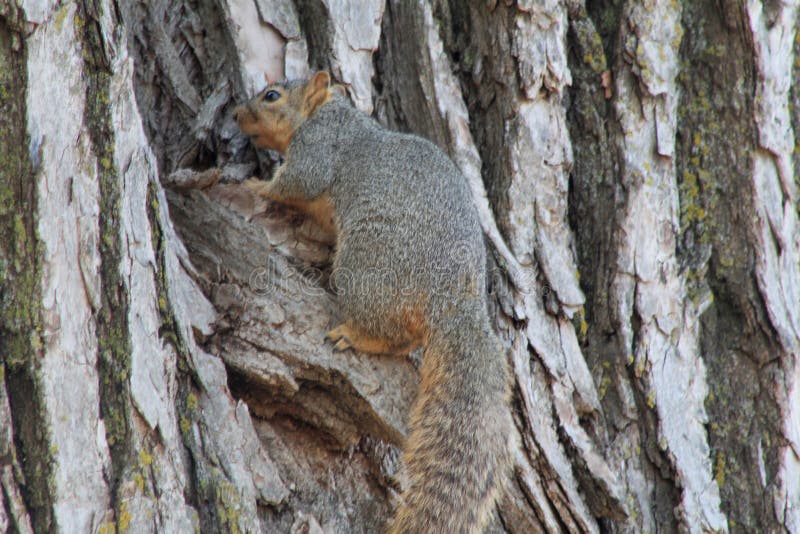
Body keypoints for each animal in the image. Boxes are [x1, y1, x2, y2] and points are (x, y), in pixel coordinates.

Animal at [234, 71, 513, 534]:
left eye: (271, 95)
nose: (237, 115)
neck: (329, 112)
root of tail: (455, 299)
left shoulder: (318, 148)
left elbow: (295, 183)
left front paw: (255, 185)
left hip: (365, 269)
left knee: (390, 333)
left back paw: (354, 336)